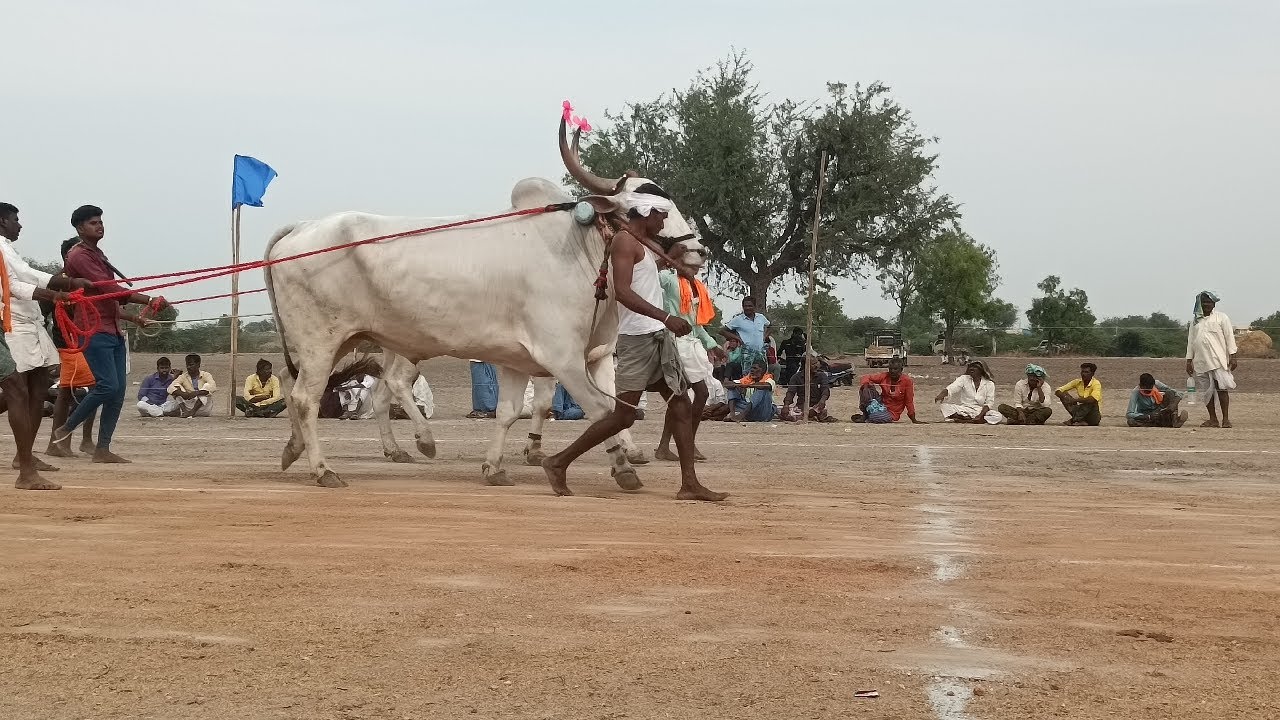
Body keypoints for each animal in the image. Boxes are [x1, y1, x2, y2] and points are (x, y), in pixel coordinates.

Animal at [264, 116, 707, 488]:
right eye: (652, 210)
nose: (698, 251)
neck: (579, 249)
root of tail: (302, 227)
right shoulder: (562, 358)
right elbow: (603, 411)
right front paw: (623, 467)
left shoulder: (524, 360)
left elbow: (509, 412)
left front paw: (494, 467)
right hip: (321, 341)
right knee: (308, 397)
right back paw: (326, 468)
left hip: (340, 341)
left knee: (298, 385)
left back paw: (298, 449)